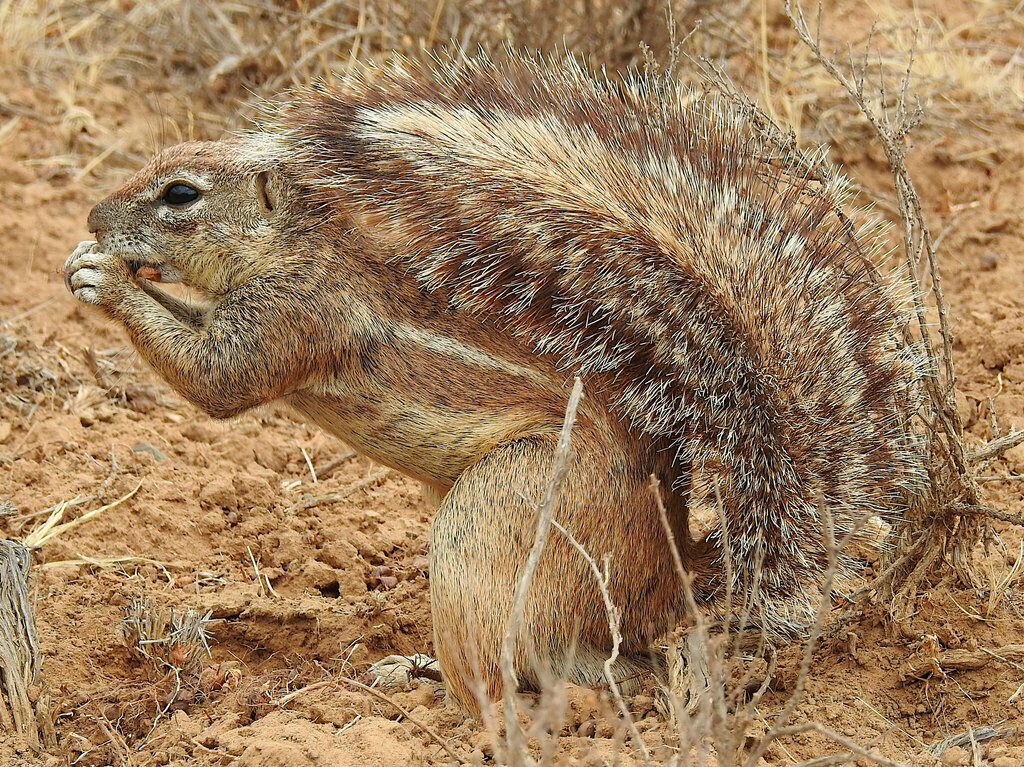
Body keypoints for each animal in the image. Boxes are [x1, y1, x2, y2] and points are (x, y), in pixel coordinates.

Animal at [64, 53, 921, 712]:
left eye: (181, 194)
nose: (94, 215)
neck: (296, 243)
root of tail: (671, 583)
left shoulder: (296, 315)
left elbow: (219, 381)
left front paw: (106, 279)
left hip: (497, 521)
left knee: (514, 666)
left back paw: (427, 693)